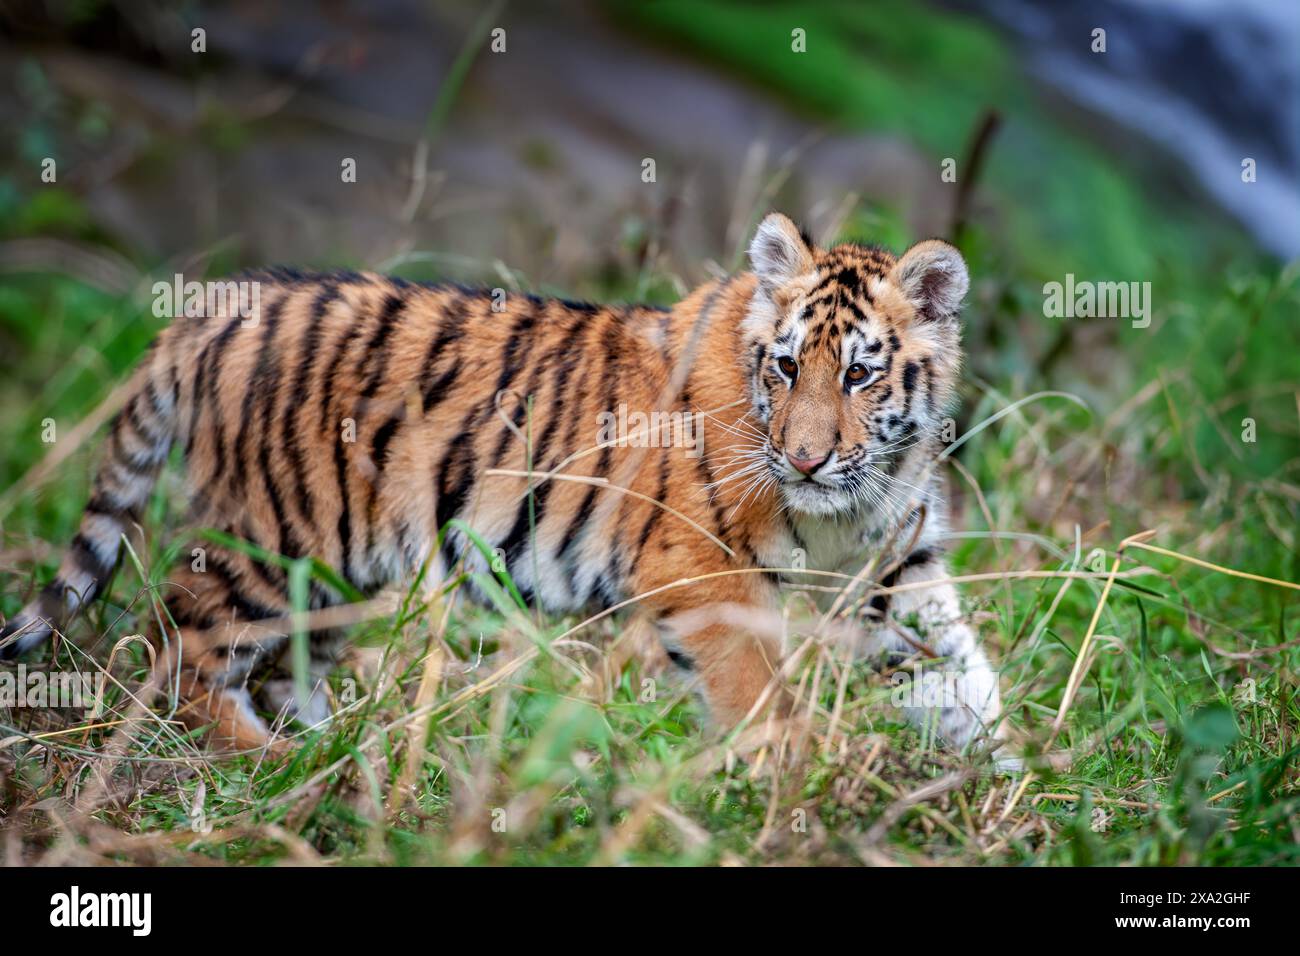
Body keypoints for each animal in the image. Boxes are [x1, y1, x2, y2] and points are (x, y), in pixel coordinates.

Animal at [0, 213, 1003, 756]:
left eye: (862, 375)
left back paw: (332, 748)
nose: (803, 460)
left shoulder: (904, 564)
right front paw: (782, 775)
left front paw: (1011, 774)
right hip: (273, 538)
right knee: (174, 645)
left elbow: (970, 672)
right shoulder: (701, 569)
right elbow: (756, 687)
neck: (853, 500)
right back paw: (264, 764)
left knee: (280, 665)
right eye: (789, 367)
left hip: (333, 568)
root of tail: (213, 306)